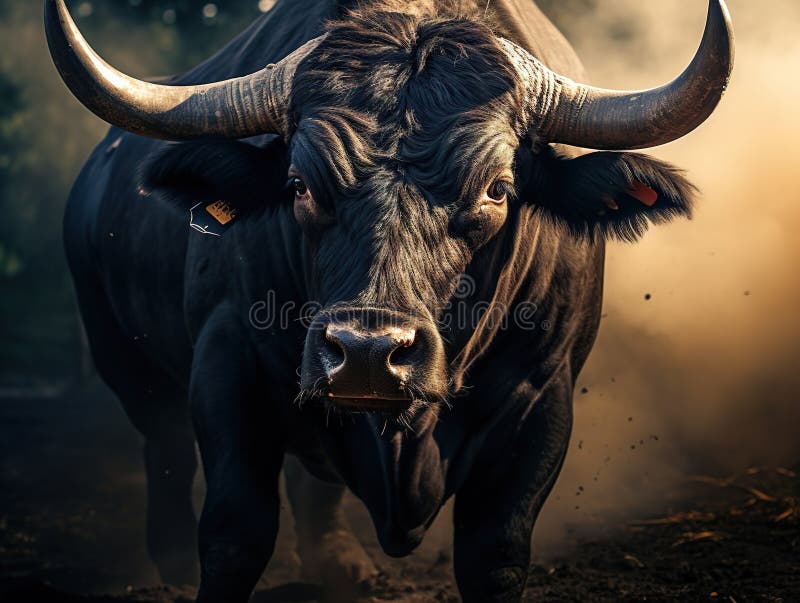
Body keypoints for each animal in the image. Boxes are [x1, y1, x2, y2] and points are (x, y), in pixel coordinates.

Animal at [44, 0, 734, 601]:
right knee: (165, 450)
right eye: (299, 184)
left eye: (497, 188)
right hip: (124, 362)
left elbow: (495, 552)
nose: (368, 354)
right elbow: (235, 534)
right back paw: (175, 565)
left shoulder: (542, 392)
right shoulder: (226, 361)